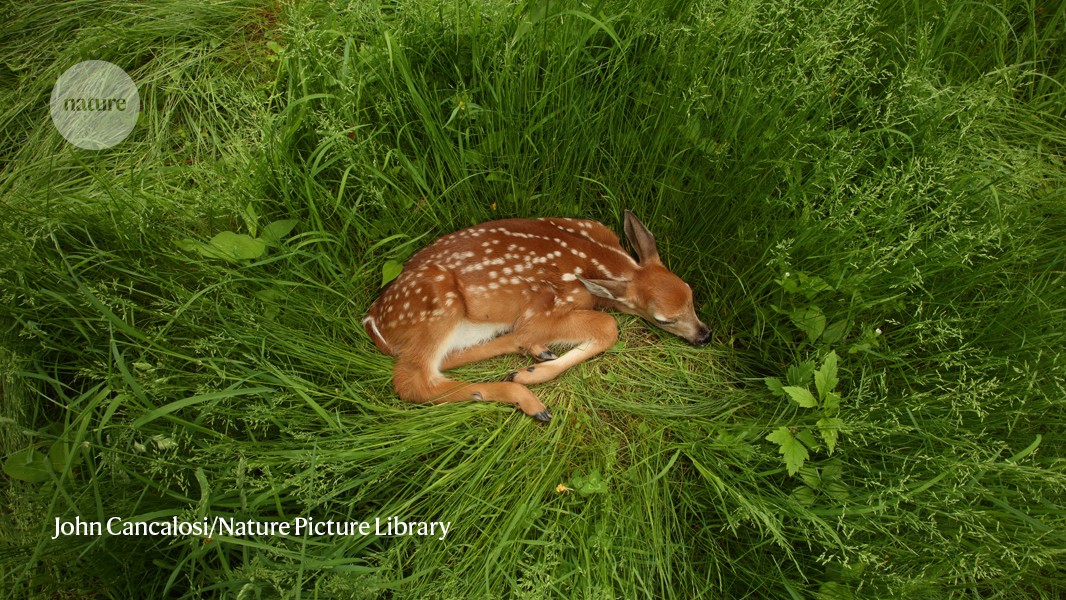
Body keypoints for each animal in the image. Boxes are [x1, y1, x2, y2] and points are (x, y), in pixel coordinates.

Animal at [362, 210, 711, 422]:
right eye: (663, 319)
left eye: (691, 293)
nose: (705, 335)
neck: (603, 259)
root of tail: (372, 322)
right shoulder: (548, 305)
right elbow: (608, 326)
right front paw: (530, 373)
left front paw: (533, 361)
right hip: (438, 302)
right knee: (413, 381)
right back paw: (525, 395)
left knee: (446, 360)